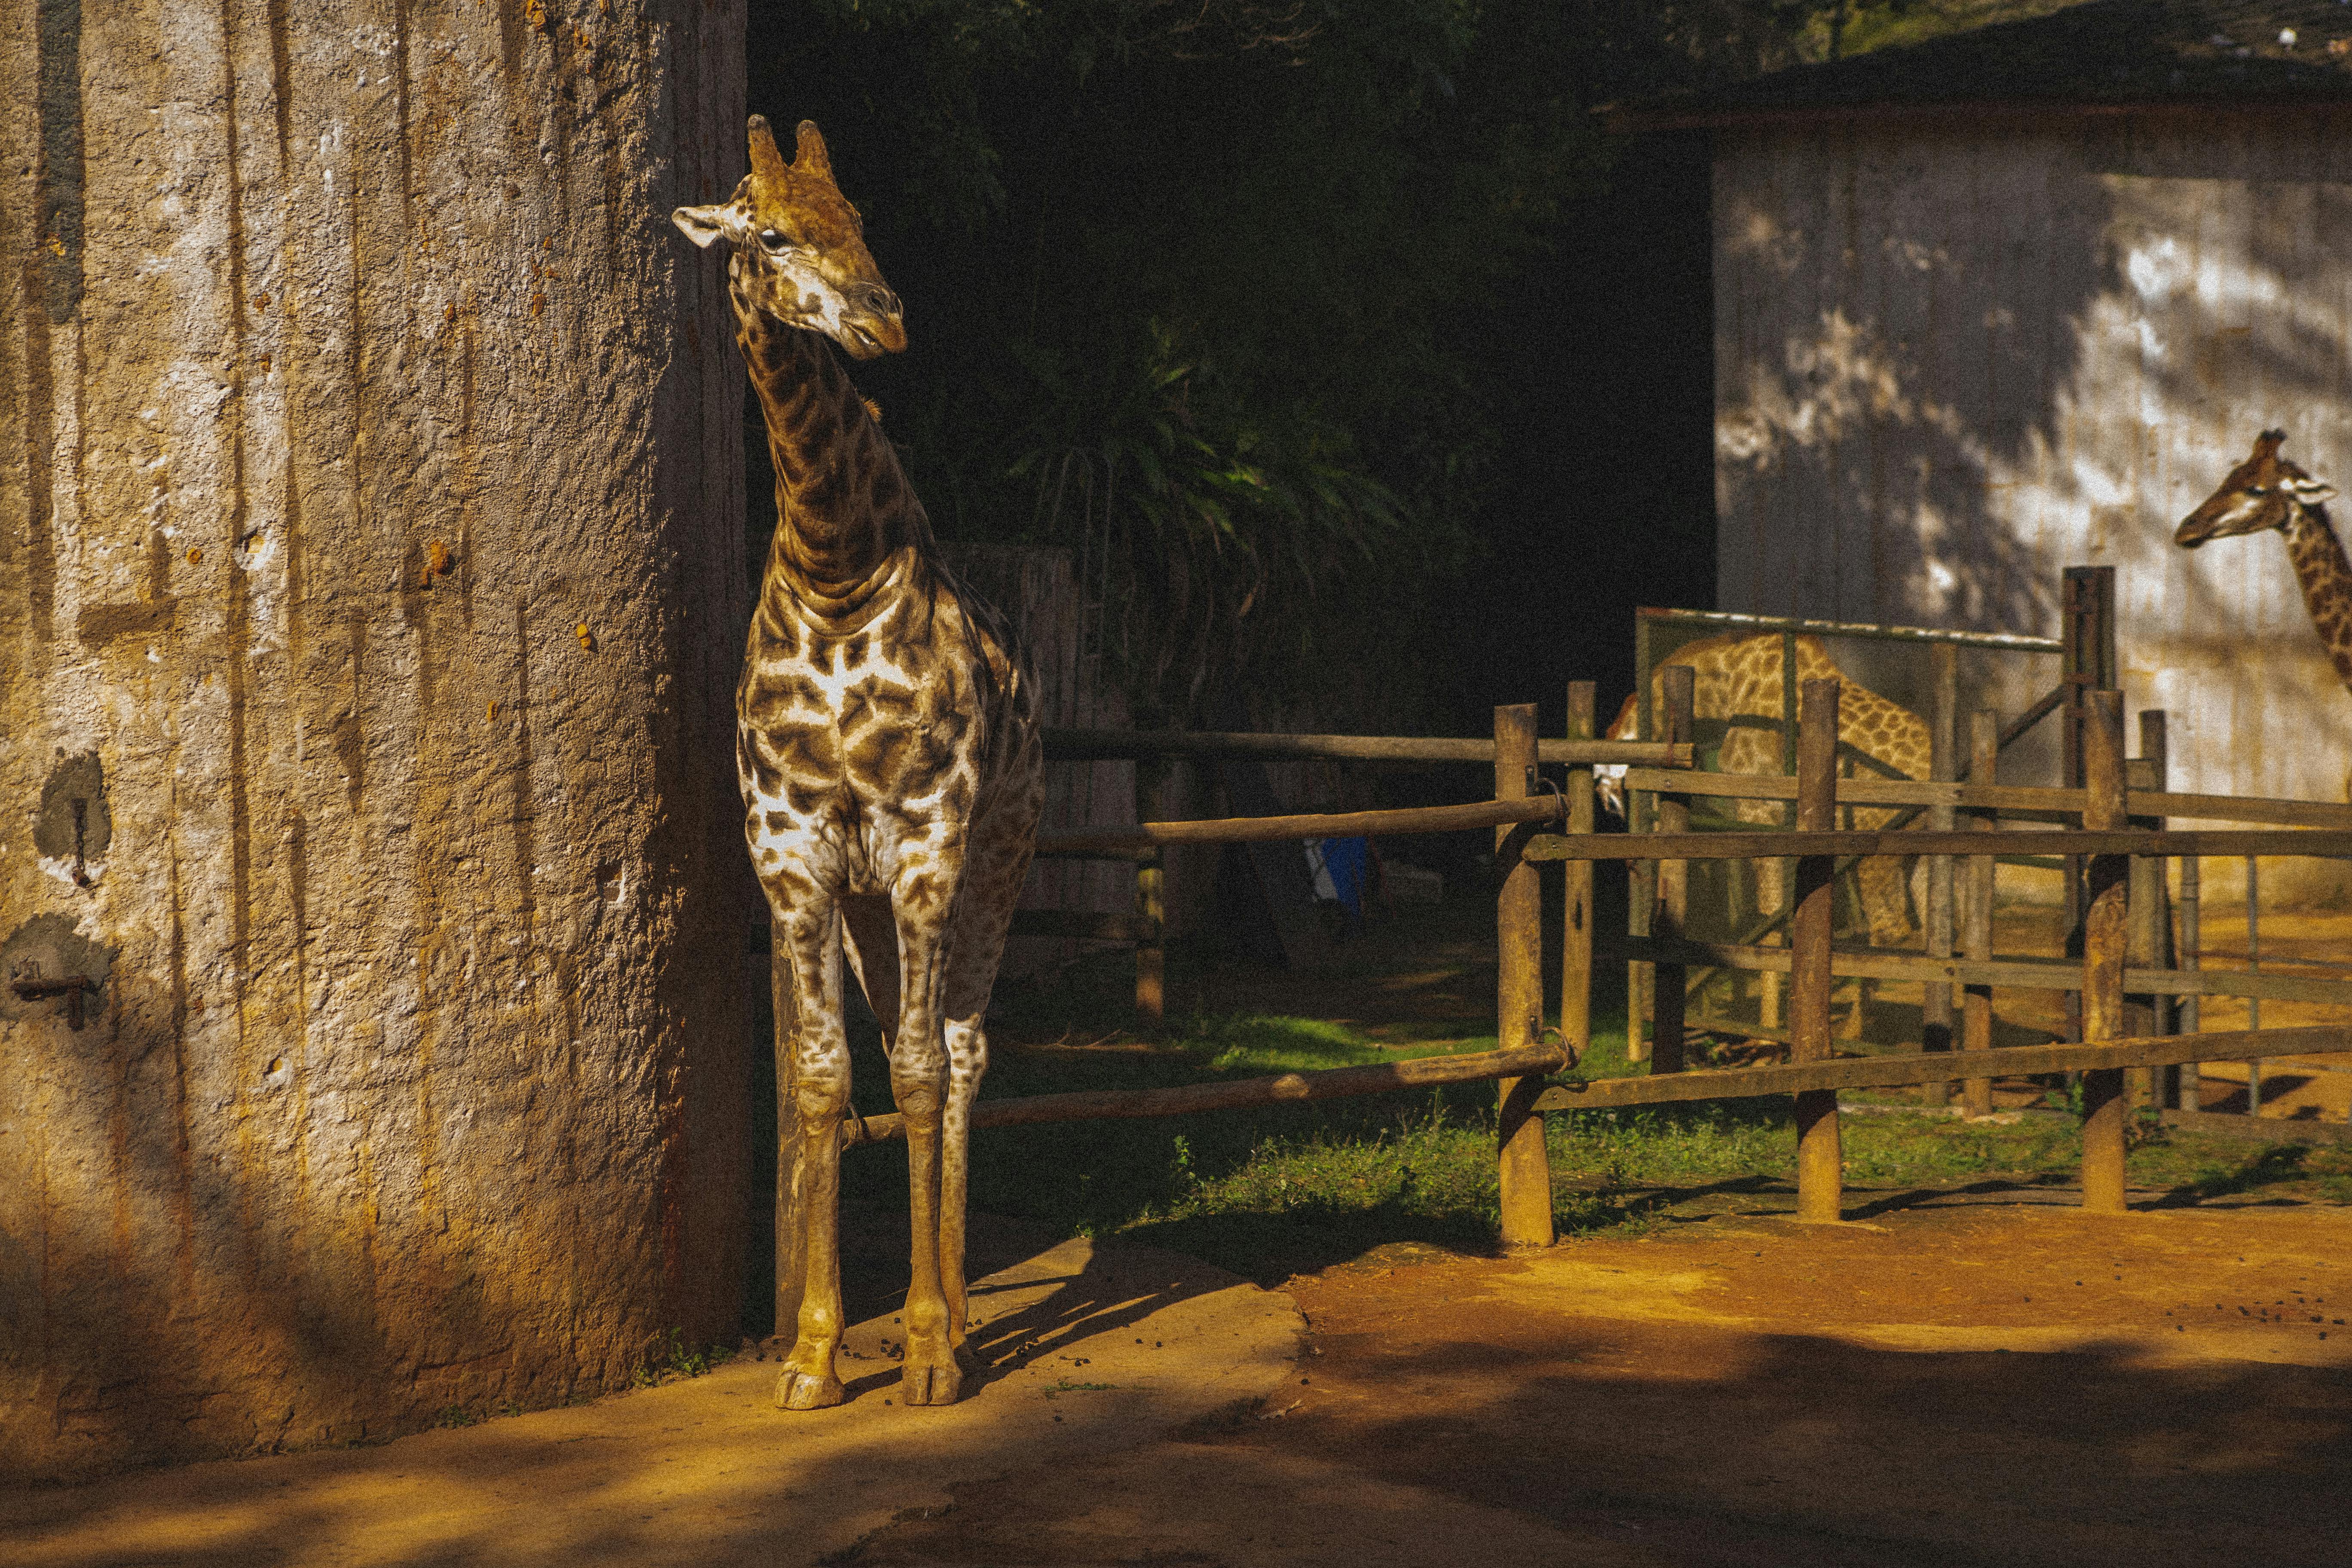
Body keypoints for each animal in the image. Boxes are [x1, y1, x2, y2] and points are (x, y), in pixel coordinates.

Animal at [674, 117, 1045, 1410]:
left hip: (993, 865)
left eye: (861, 215)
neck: (834, 573)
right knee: (900, 1052)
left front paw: (925, 1349)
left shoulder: (929, 839)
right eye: (774, 235)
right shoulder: (792, 855)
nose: (883, 319)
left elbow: (925, 1073)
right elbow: (829, 1082)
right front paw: (814, 1354)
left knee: (963, 1055)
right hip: (872, 906)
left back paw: (965, 1326)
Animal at [1595, 633, 1932, 949]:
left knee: (1892, 930)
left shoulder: (1758, 810)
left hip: (1876, 854)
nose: (1634, 863)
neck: (1727, 690)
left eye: (1613, 802)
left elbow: (1770, 913)